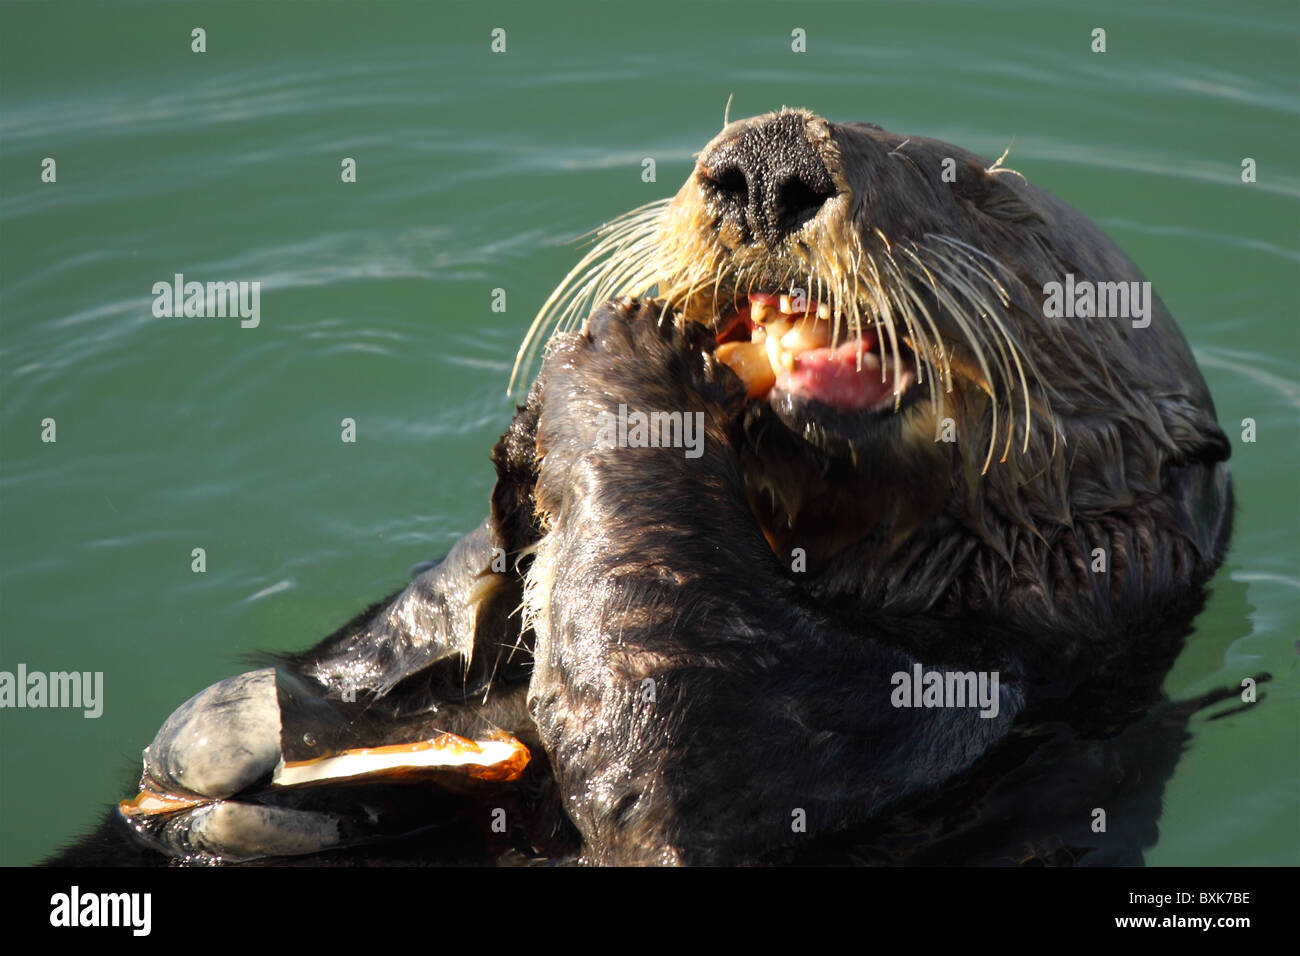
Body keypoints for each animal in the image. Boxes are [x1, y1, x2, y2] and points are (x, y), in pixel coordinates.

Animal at [48, 109, 1232, 866]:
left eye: (975, 188)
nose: (765, 164)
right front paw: (245, 721)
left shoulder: (942, 710)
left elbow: (686, 754)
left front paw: (620, 363)